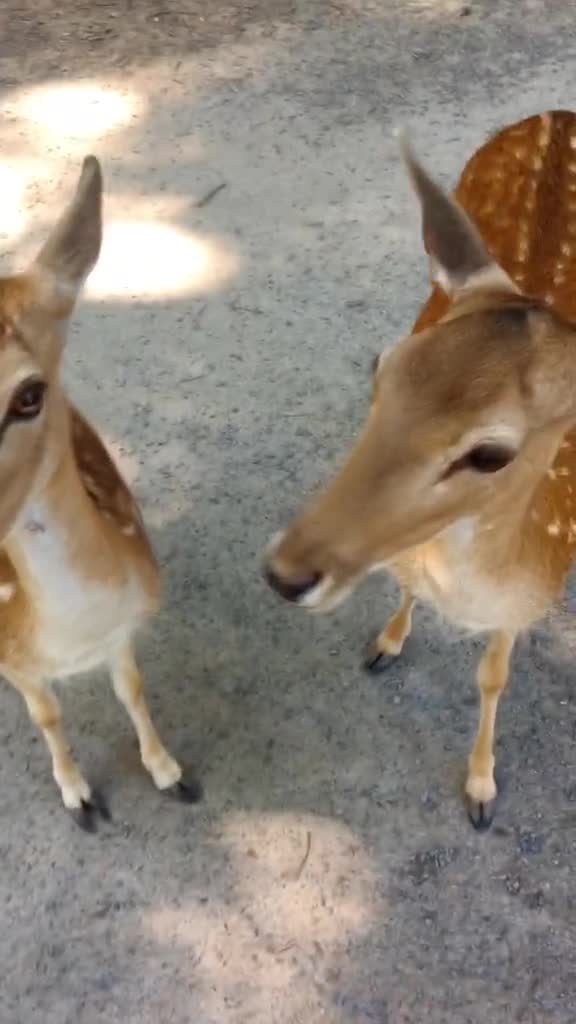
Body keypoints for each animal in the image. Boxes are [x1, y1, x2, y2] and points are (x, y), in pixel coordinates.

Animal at [0, 155, 199, 829]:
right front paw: (79, 797)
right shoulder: (14, 662)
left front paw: (170, 773)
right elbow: (48, 715)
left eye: (29, 393)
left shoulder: (126, 629)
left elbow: (132, 691)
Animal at [265, 109, 576, 829]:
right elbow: (403, 589)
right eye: (380, 368)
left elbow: (494, 675)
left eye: (491, 453)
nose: (285, 574)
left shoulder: (528, 603)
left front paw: (482, 789)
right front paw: (386, 643)